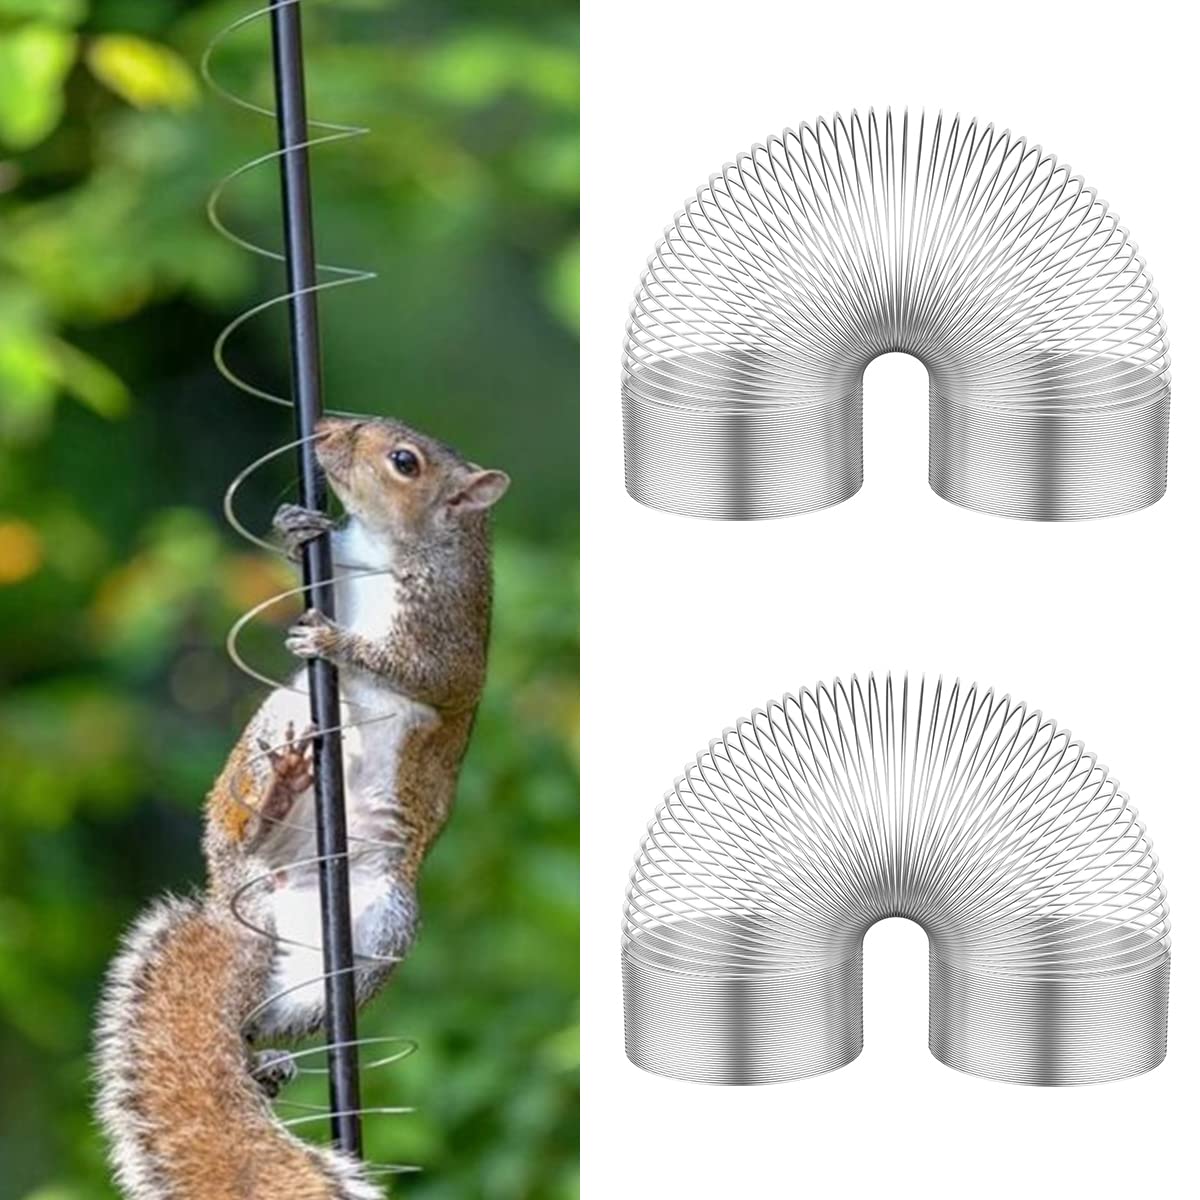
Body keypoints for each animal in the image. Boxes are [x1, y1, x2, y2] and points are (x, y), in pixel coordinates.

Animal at [95, 415, 509, 1197]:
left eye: (405, 461)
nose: (325, 428)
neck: (385, 546)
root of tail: (244, 899)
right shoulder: (338, 567)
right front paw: (292, 527)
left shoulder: (446, 635)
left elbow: (413, 670)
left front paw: (337, 641)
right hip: (279, 721)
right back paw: (278, 795)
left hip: (373, 928)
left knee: (270, 1017)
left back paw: (263, 1062)